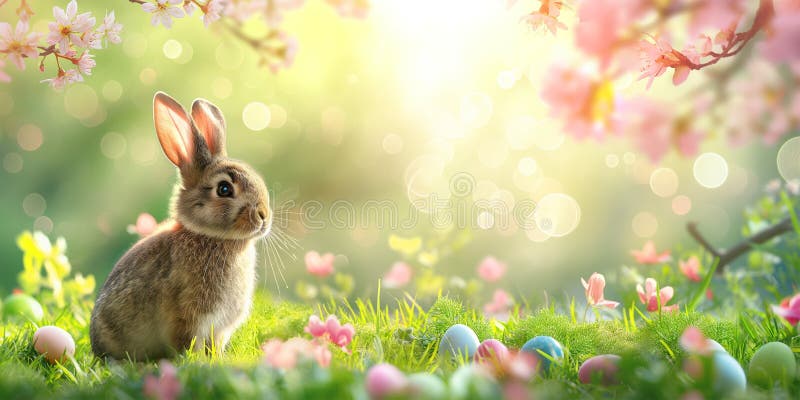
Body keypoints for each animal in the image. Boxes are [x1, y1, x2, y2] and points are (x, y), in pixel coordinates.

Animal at [90, 92, 272, 361]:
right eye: (224, 189)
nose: (263, 216)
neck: (213, 237)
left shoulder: (219, 329)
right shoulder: (188, 315)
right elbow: (188, 342)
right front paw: (194, 361)